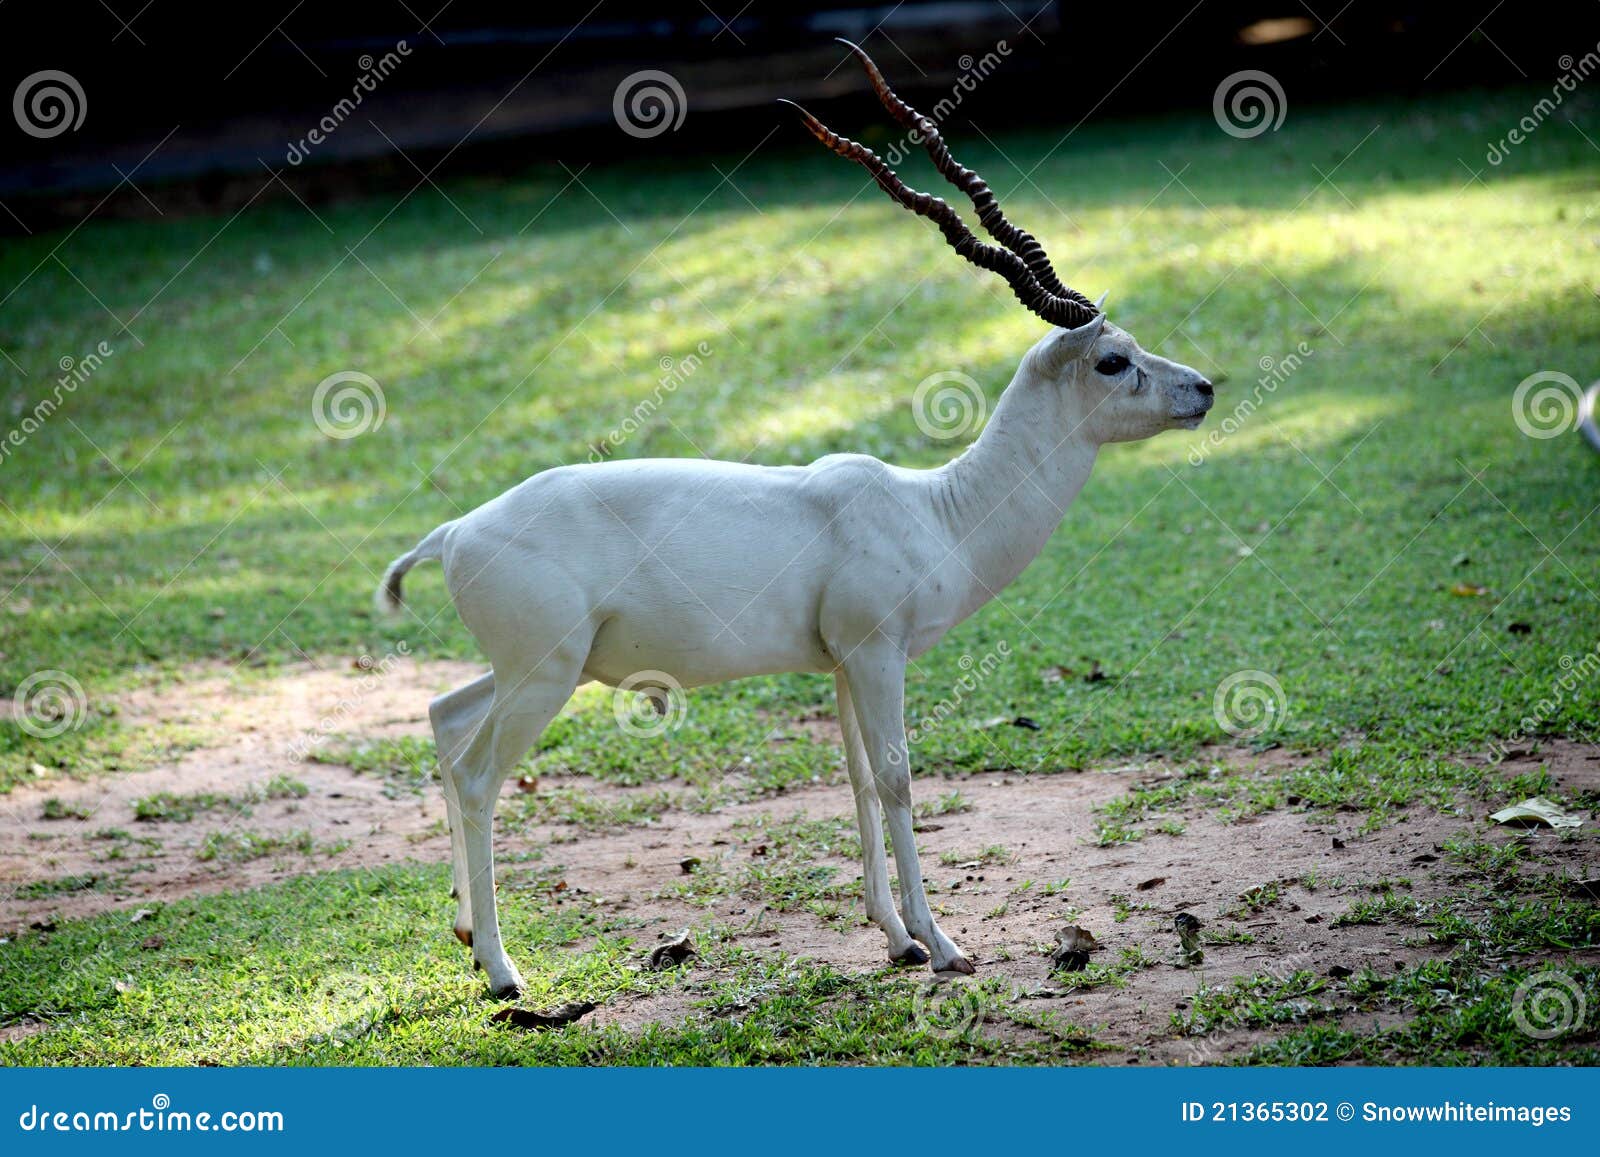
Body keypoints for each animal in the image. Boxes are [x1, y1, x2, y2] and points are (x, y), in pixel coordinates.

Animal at [377, 42, 1214, 998]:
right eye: (1113, 360)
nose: (1203, 388)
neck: (938, 510)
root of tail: (453, 532)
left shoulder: (845, 661)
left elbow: (855, 779)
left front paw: (897, 937)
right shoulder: (879, 652)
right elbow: (897, 778)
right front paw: (945, 944)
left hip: (531, 668)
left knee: (445, 722)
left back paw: (461, 928)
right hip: (545, 675)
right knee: (481, 774)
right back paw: (502, 971)